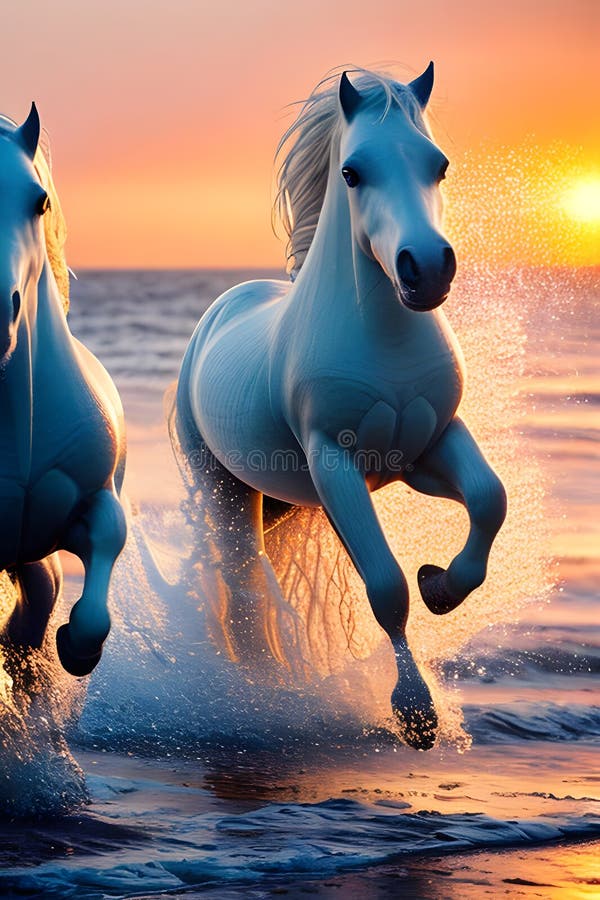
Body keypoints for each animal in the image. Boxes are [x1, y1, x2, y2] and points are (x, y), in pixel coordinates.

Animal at [173, 64, 507, 750]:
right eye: (352, 172)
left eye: (438, 164)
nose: (426, 269)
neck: (382, 339)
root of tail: (224, 306)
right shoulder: (334, 463)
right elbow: (385, 586)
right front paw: (416, 714)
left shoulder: (429, 449)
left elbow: (490, 500)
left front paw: (441, 585)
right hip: (224, 488)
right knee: (243, 589)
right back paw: (257, 695)